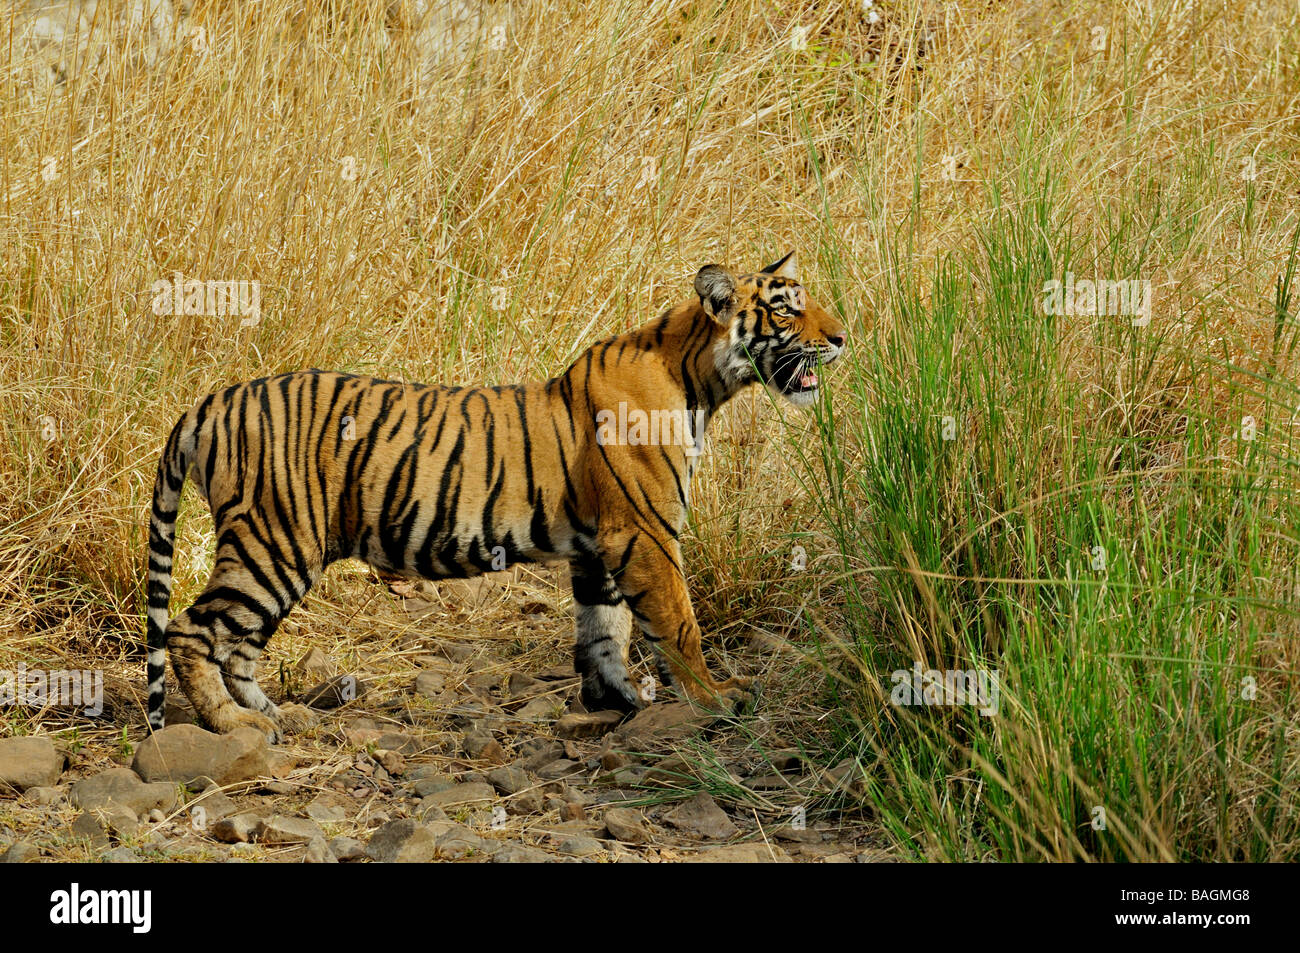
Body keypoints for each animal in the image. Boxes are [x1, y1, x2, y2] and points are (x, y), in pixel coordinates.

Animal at [144, 252, 846, 741]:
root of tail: (210, 401)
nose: (842, 336)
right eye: (786, 310)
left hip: (276, 553)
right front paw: (714, 698)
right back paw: (234, 725)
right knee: (190, 631)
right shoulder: (644, 533)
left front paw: (616, 702)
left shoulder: (598, 546)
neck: (699, 380)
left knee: (238, 646)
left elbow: (604, 631)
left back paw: (280, 716)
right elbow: (677, 624)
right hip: (274, 541)